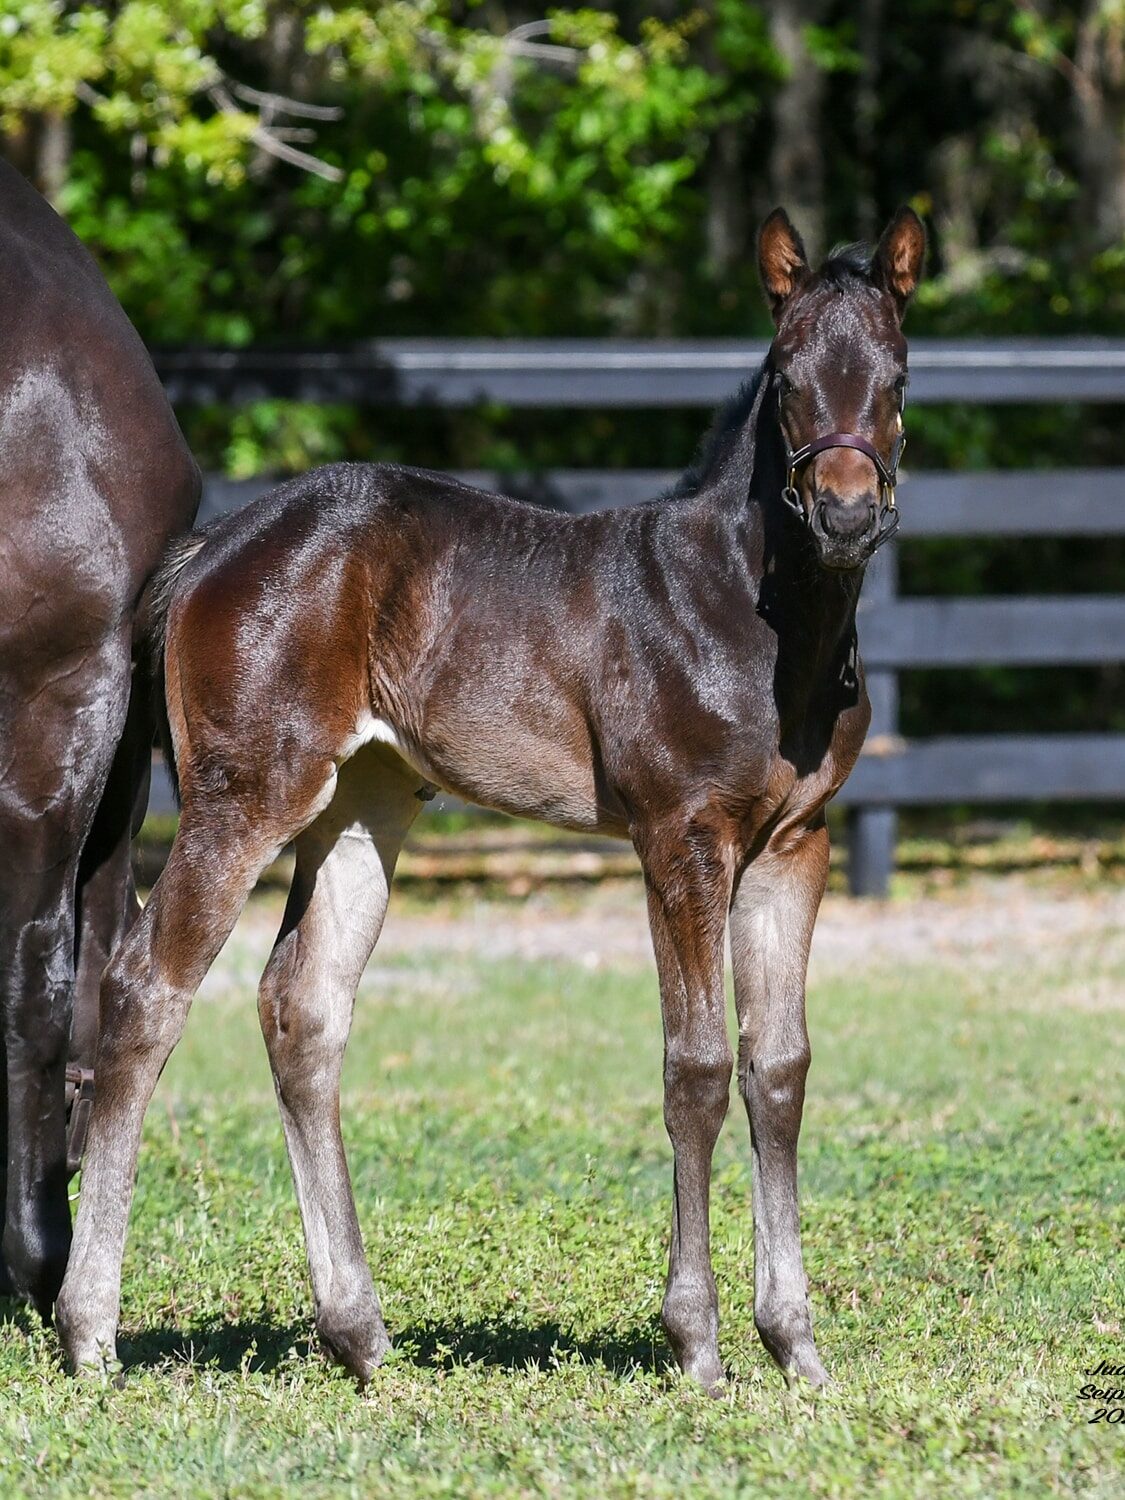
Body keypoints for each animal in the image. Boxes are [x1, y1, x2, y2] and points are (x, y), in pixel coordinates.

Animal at [57, 206, 925, 1390]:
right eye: (787, 375)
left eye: (897, 375)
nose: (842, 513)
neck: (755, 619)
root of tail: (210, 547)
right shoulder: (680, 838)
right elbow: (697, 1067)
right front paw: (697, 1345)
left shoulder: (797, 842)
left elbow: (779, 1069)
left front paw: (795, 1345)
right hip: (248, 796)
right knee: (147, 989)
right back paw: (90, 1331)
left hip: (365, 805)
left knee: (303, 1007)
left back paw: (359, 1335)